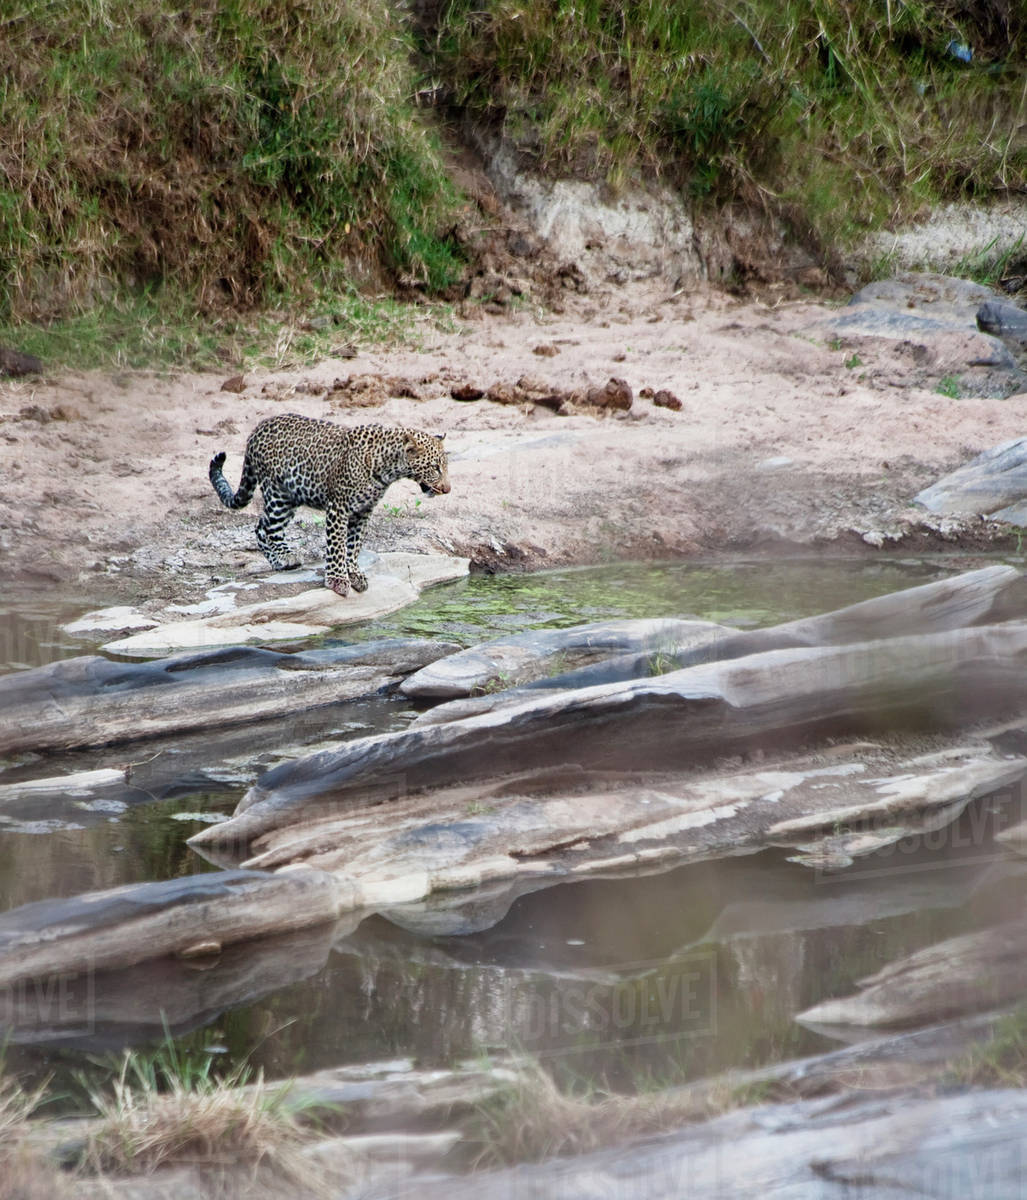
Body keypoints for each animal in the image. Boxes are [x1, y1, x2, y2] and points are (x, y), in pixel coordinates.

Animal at [209, 412, 450, 597]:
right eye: (435, 467)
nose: (448, 489)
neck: (388, 468)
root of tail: (256, 429)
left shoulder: (363, 511)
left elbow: (353, 546)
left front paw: (354, 573)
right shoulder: (339, 507)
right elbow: (337, 545)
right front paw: (337, 580)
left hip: (291, 496)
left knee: (264, 527)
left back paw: (282, 560)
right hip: (278, 494)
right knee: (266, 527)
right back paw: (284, 558)